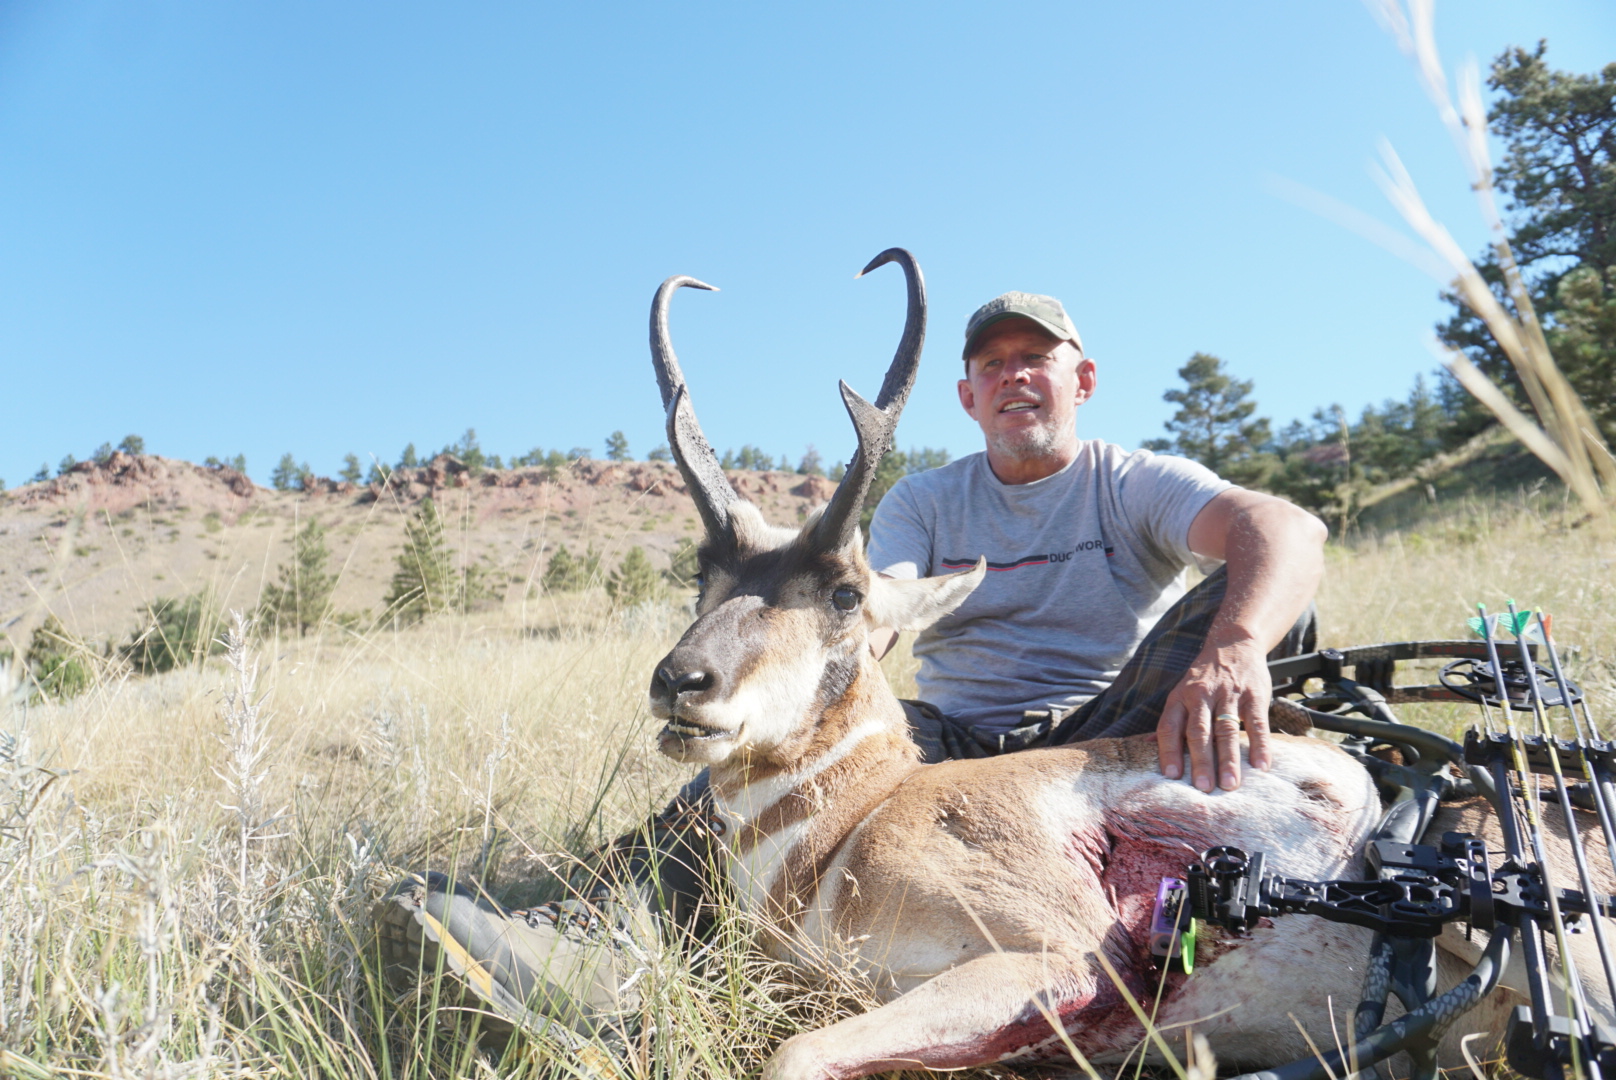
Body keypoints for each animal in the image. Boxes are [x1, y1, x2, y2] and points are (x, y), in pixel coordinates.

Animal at [643, 250, 1608, 1080]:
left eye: (845, 593)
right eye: (703, 575)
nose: (681, 682)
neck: (859, 816)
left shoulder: (1051, 958)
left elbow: (792, 1050)